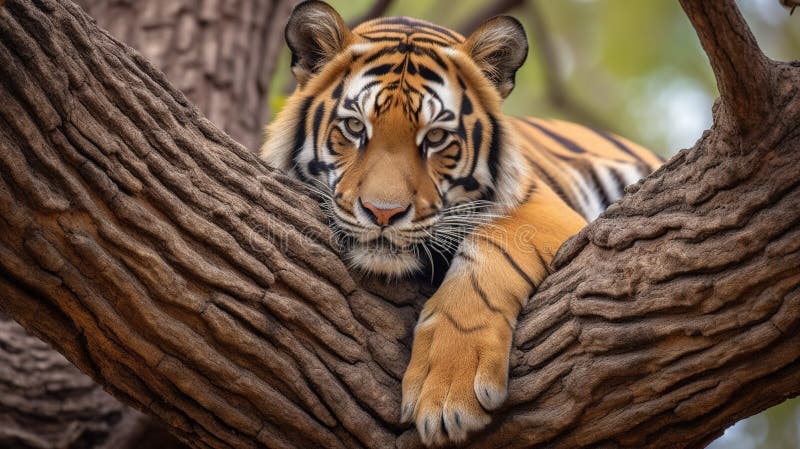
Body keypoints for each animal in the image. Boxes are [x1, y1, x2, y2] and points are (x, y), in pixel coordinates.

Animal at [261, 1, 662, 445]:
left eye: (435, 138)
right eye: (354, 127)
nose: (383, 213)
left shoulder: (541, 204)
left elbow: (492, 255)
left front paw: (447, 393)